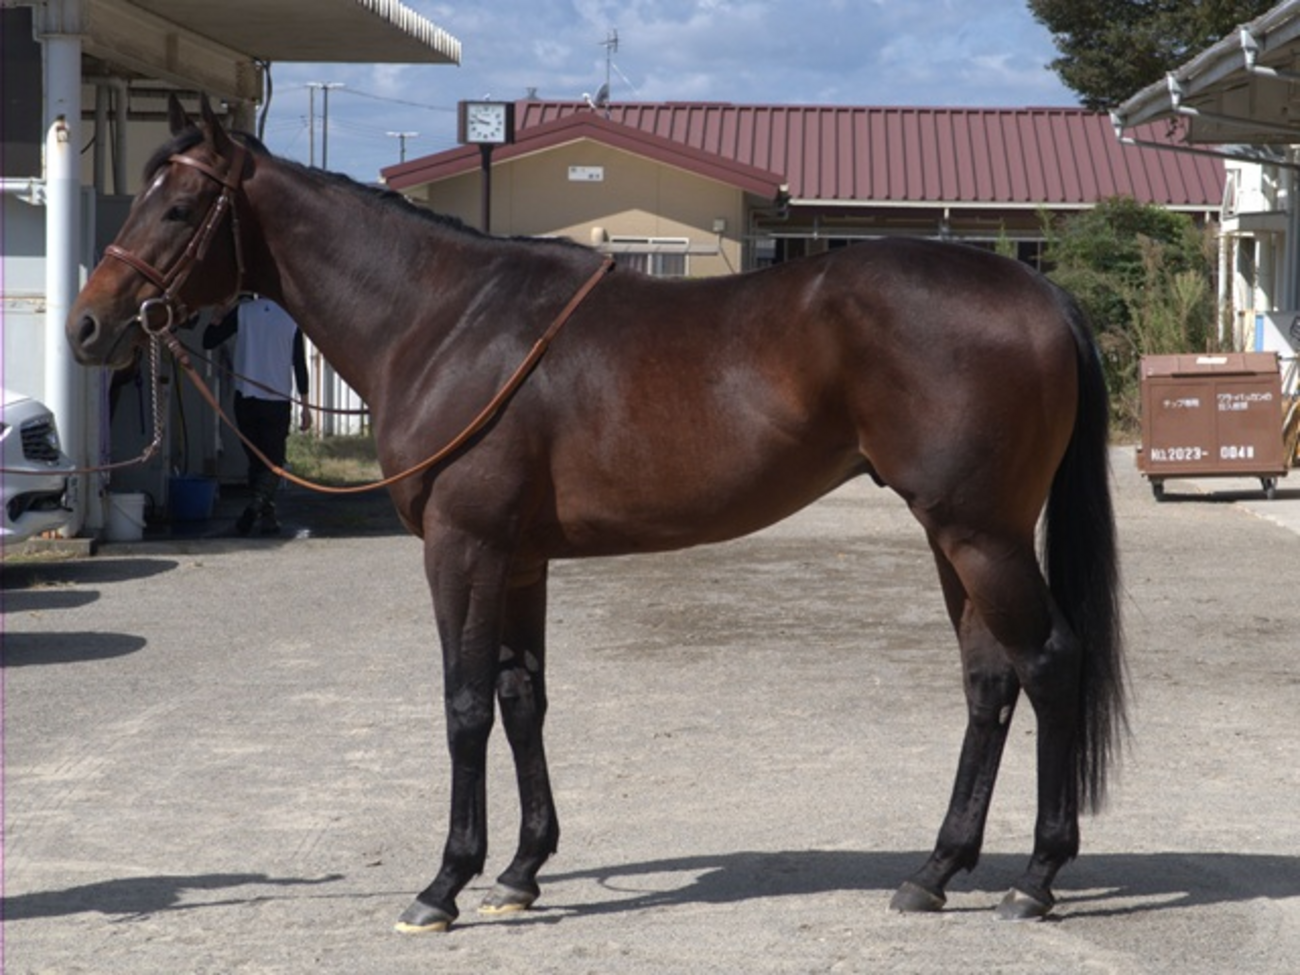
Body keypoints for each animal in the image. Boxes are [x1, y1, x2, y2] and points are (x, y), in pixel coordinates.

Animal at [68, 95, 1124, 932]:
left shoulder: (463, 549)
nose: (88, 326)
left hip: (980, 533)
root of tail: (1038, 288)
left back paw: (1035, 879)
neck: (445, 320)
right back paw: (934, 870)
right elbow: (521, 698)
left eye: (178, 204)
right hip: (956, 535)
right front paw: (522, 870)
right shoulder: (520, 558)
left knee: (1048, 663)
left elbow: (462, 705)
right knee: (989, 682)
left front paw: (445, 883)